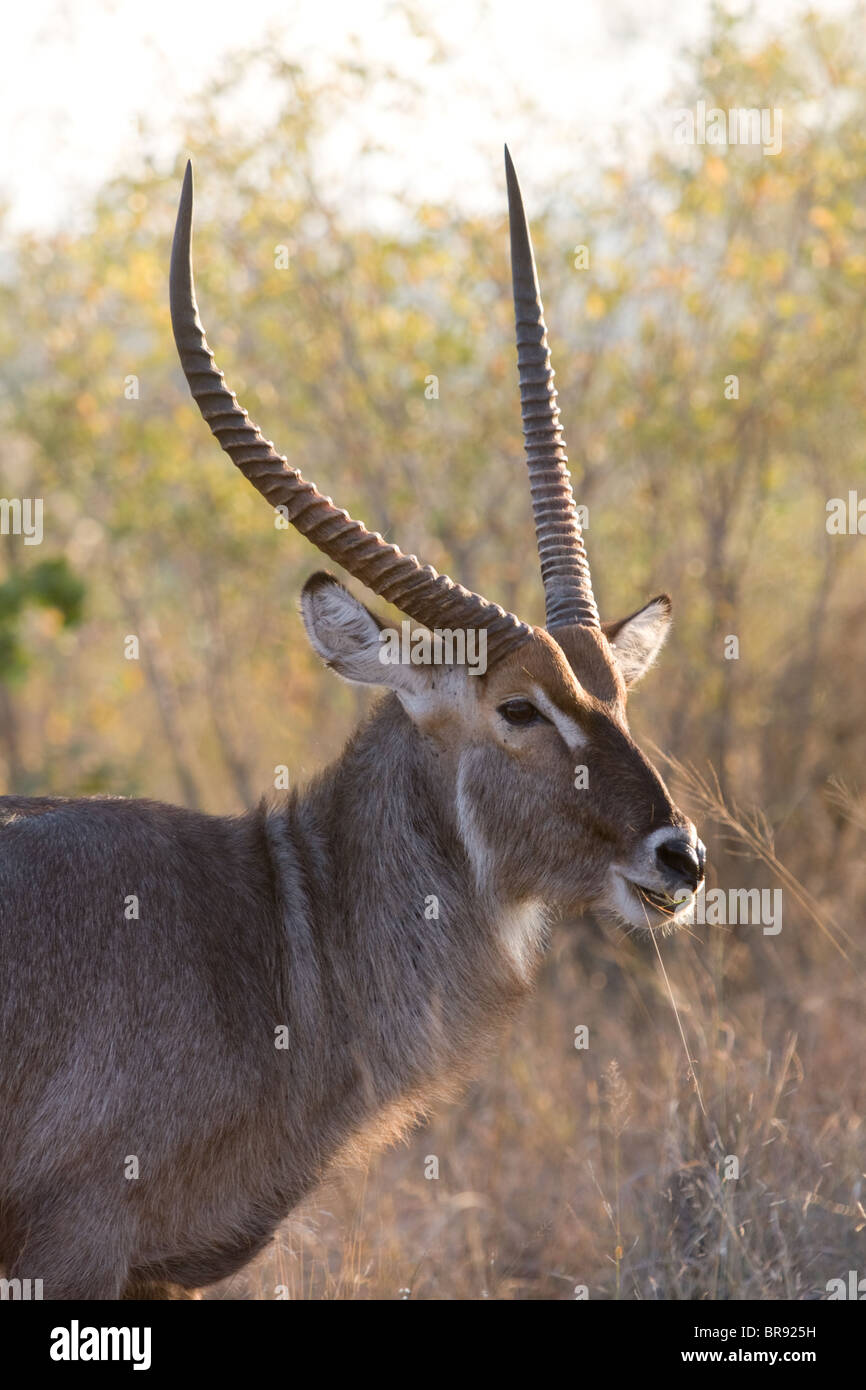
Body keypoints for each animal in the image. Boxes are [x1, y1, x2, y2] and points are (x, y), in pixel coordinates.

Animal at [0, 149, 705, 1300]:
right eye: (517, 705)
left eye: (617, 693)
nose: (679, 856)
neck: (279, 920)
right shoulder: (77, 1241)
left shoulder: (162, 1269)